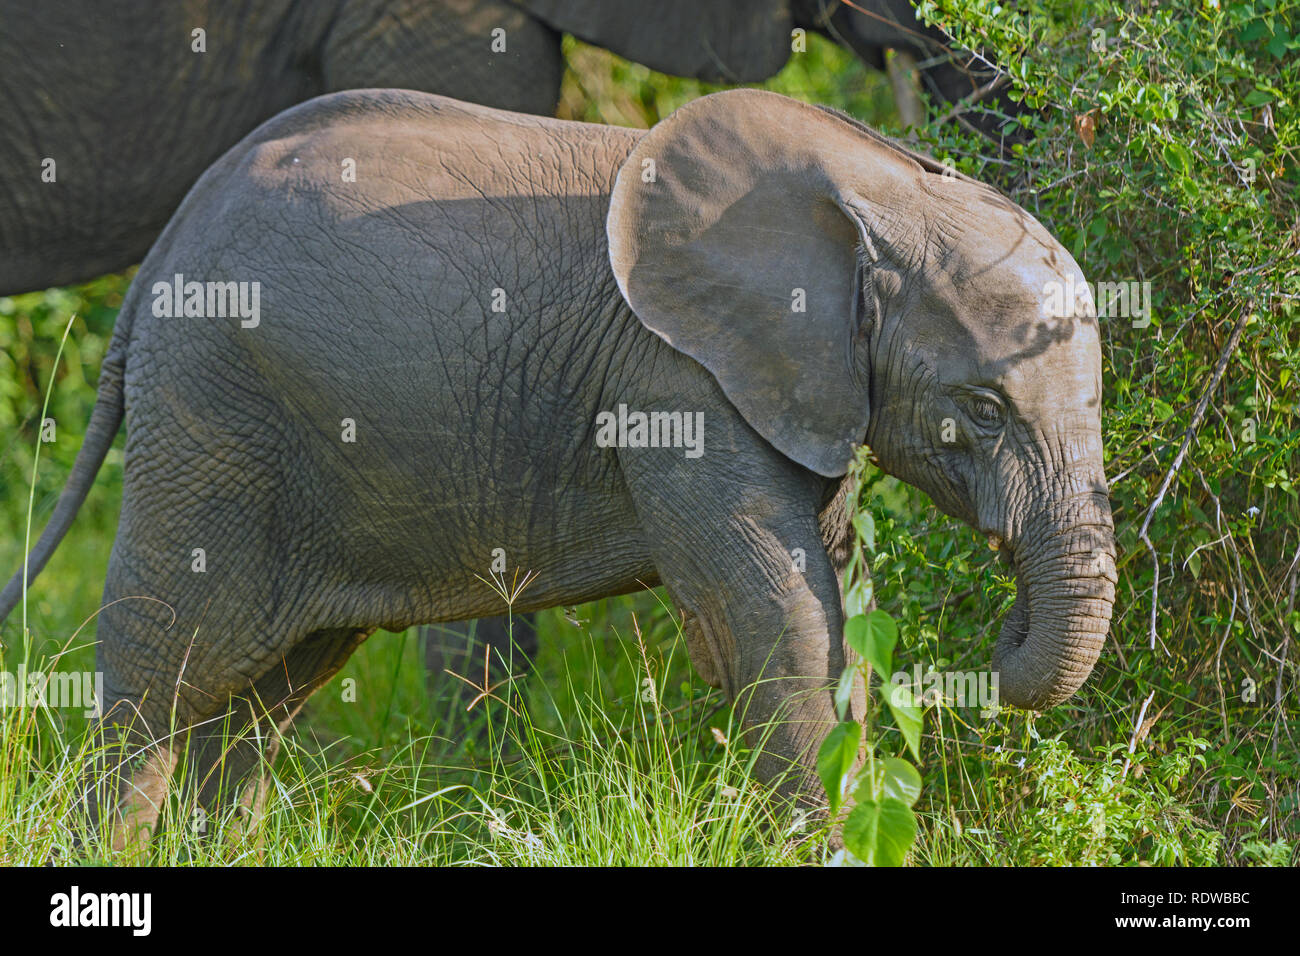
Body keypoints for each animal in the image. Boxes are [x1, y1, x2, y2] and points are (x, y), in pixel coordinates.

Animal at [0, 87, 1114, 845]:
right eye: (983, 410)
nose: (1001, 625)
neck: (878, 185)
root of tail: (158, 257)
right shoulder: (677, 379)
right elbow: (775, 613)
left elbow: (833, 593)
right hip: (214, 415)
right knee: (163, 662)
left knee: (272, 689)